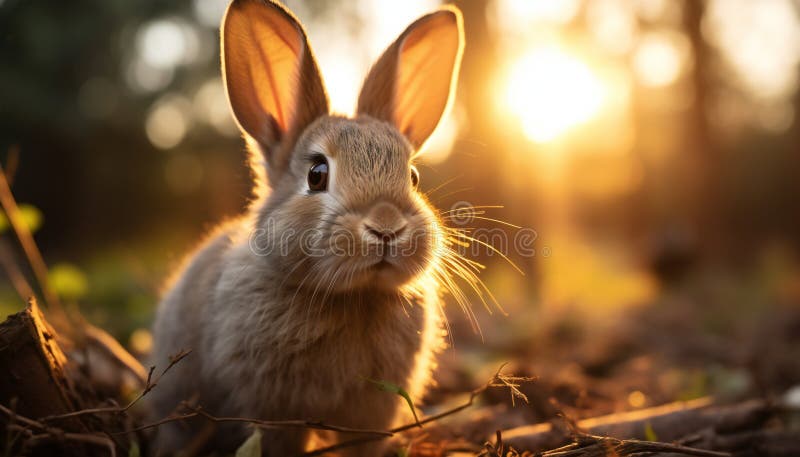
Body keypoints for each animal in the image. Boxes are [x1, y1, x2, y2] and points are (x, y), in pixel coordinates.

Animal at [148, 0, 464, 455]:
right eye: (317, 174)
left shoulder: (370, 415)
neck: (355, 296)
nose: (386, 227)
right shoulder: (274, 409)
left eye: (414, 177)